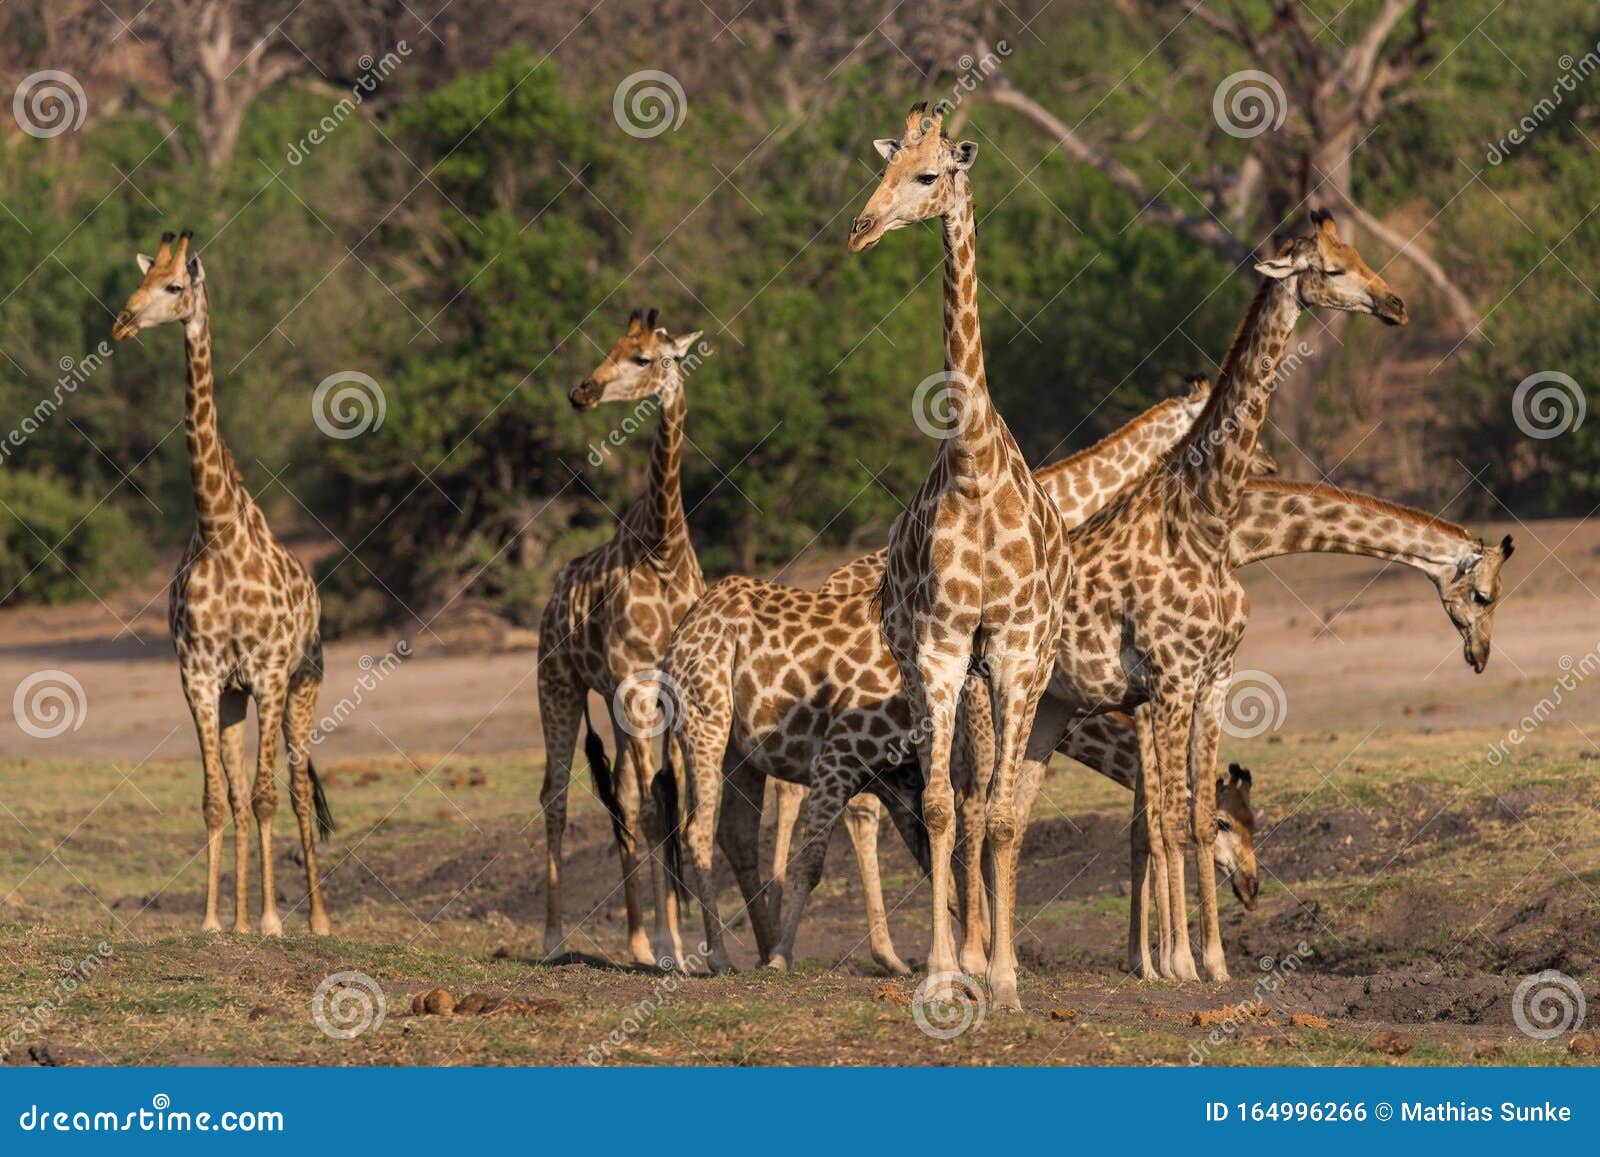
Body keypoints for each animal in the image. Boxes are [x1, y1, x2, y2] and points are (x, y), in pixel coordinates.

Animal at [112, 230, 332, 936]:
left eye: (174, 285)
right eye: (140, 279)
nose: (122, 322)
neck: (216, 530)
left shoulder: (268, 671)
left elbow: (265, 798)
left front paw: (273, 923)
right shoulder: (202, 675)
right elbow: (217, 799)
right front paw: (215, 924)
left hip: (303, 682)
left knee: (294, 788)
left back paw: (316, 921)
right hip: (237, 697)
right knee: (238, 795)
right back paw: (238, 919)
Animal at [537, 309, 704, 967]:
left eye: (643, 358)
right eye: (611, 346)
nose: (580, 391)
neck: (664, 550)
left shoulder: (671, 694)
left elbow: (672, 803)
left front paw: (682, 945)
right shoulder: (634, 686)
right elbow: (656, 810)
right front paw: (668, 944)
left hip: (608, 700)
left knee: (627, 797)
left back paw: (634, 942)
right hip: (558, 688)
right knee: (556, 796)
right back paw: (554, 941)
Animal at [1029, 210, 1407, 983]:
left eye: (1360, 254)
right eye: (1330, 269)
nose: (1396, 305)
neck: (1202, 518)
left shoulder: (1213, 678)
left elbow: (1194, 818)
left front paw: (1212, 961)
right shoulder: (1169, 681)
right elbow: (1169, 822)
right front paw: (1173, 962)